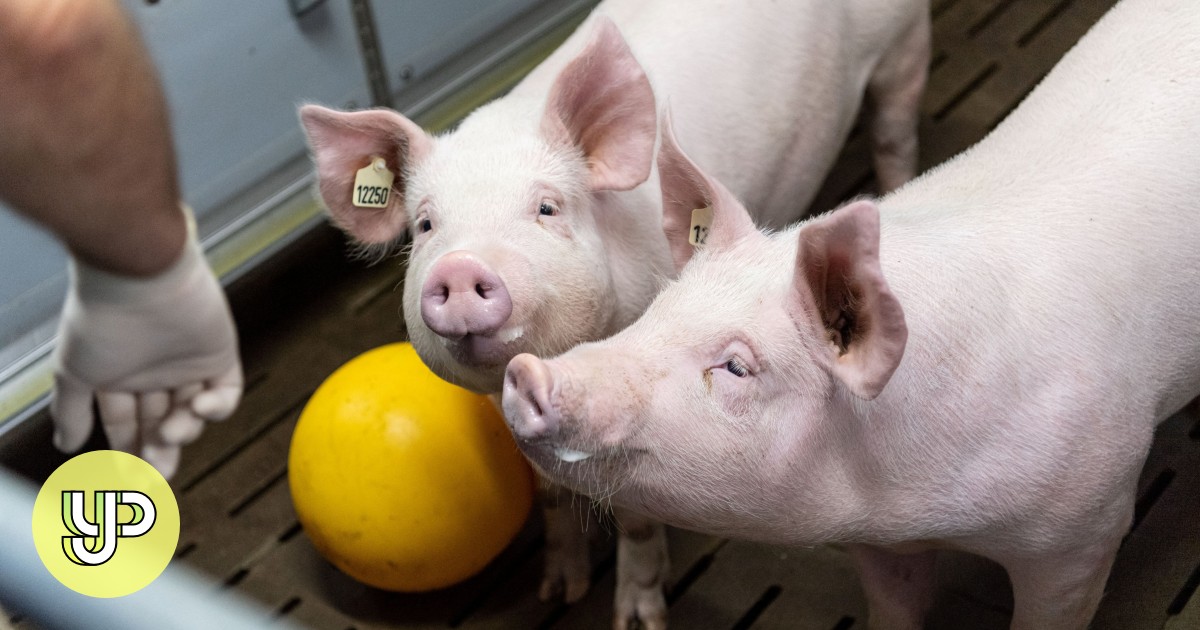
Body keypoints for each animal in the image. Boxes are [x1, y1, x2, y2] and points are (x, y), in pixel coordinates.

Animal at [299, 1, 929, 627]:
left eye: (547, 207)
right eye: (426, 224)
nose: (457, 268)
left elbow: (634, 515)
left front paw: (637, 617)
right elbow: (549, 492)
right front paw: (560, 593)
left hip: (903, 46)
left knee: (894, 133)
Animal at [501, 0, 1200, 627]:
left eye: (736, 367)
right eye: (658, 309)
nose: (528, 371)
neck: (906, 495)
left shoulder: (1088, 525)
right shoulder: (880, 541)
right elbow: (895, 606)